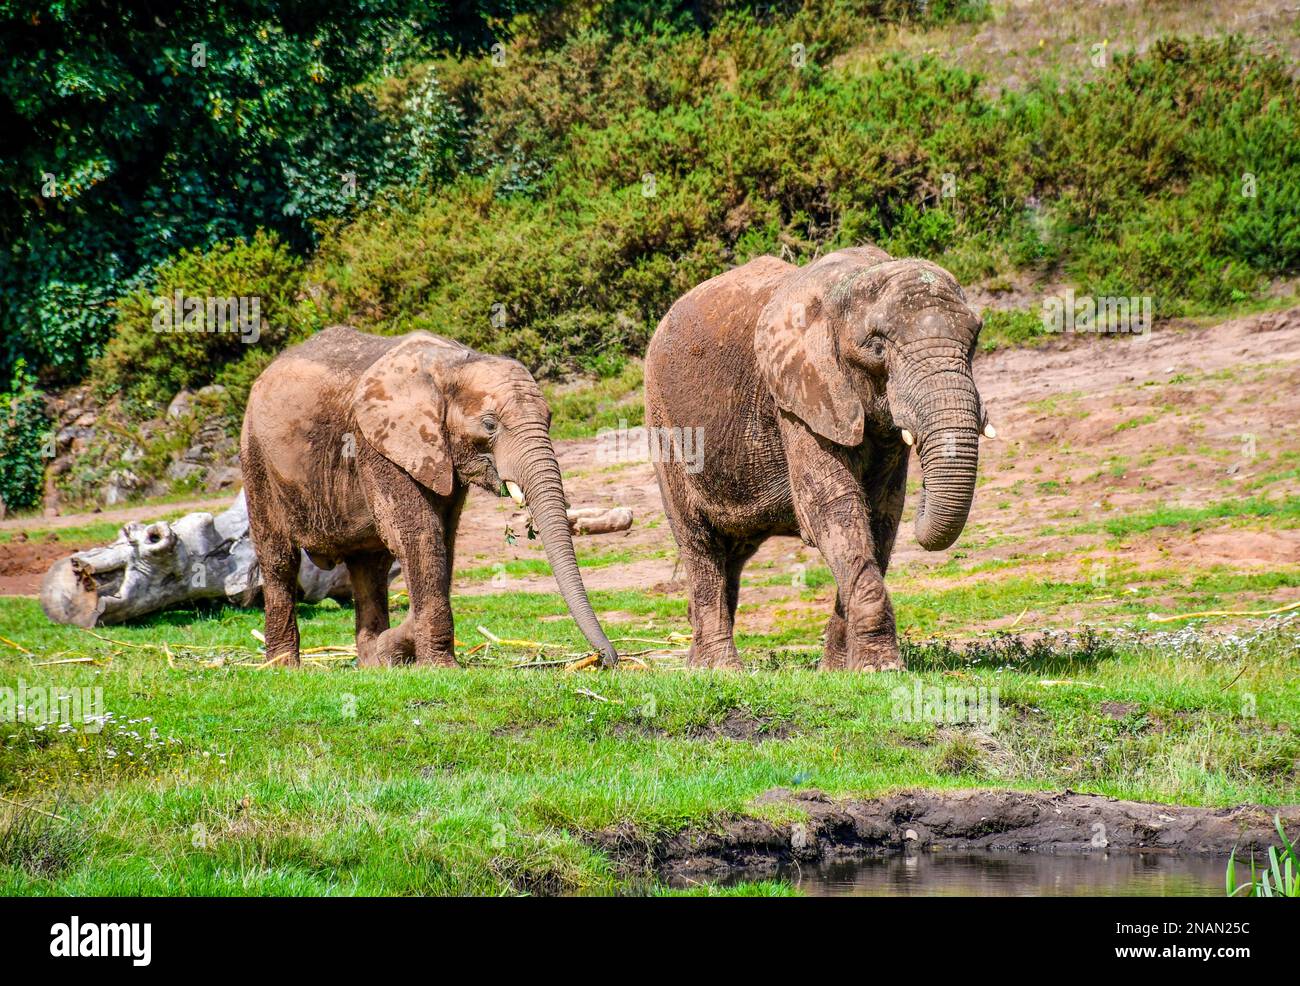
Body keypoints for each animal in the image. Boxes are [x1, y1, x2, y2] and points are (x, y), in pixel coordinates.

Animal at [240, 326, 619, 668]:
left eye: (549, 419)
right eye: (490, 425)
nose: (607, 659)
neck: (454, 364)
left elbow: (444, 541)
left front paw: (393, 650)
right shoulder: (379, 443)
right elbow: (420, 536)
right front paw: (438, 666)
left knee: (369, 568)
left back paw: (372, 665)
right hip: (256, 456)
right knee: (279, 561)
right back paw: (284, 666)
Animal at [644, 246, 990, 671]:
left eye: (974, 339)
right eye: (876, 346)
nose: (924, 501)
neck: (851, 282)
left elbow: (881, 514)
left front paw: (841, 671)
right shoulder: (796, 398)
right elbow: (832, 507)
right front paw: (881, 668)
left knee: (733, 556)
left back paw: (698, 666)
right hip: (664, 424)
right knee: (699, 543)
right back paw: (724, 670)